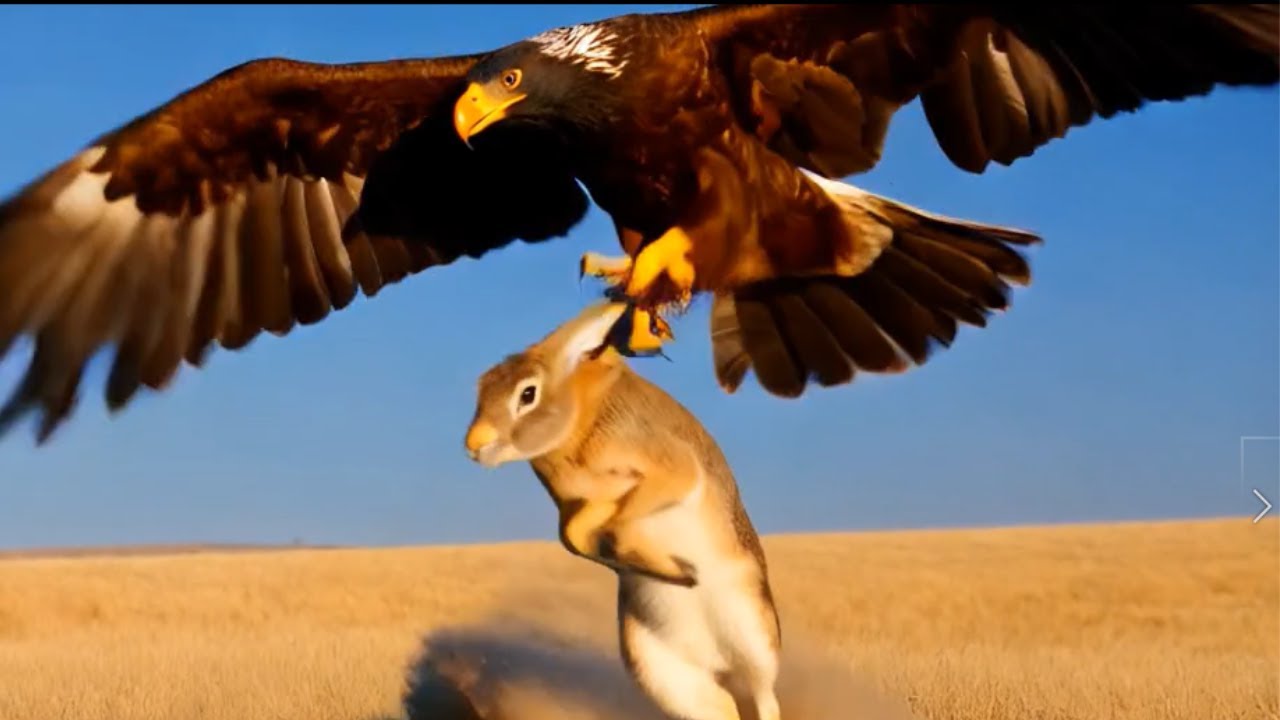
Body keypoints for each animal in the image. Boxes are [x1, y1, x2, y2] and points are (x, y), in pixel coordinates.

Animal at [463, 300, 783, 720]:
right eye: (481, 387)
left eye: (527, 393)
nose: (473, 444)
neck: (579, 420)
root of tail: (715, 664)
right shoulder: (576, 508)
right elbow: (575, 534)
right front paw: (669, 569)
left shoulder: (674, 473)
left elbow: (620, 522)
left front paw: (678, 570)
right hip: (660, 671)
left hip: (754, 642)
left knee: (764, 699)